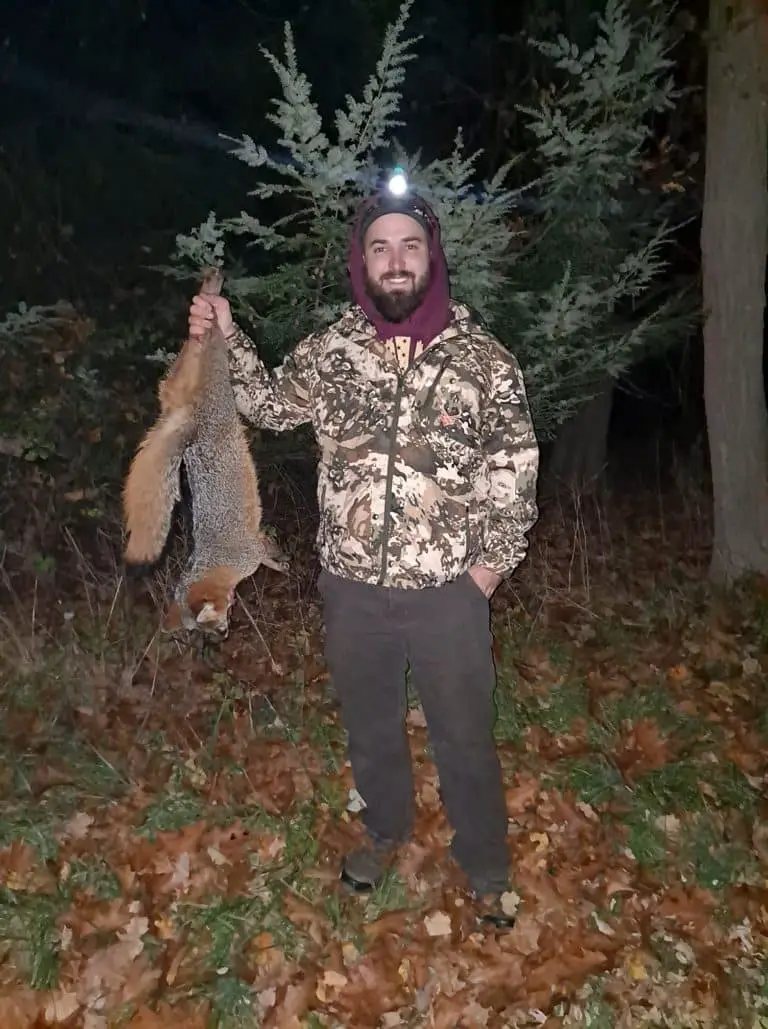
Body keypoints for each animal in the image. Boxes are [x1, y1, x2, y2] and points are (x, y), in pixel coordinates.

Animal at [122, 267, 287, 638]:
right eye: (206, 630)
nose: (222, 635)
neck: (216, 563)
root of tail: (189, 418)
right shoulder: (253, 545)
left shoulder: (252, 550)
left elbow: (269, 554)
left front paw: (282, 562)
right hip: (182, 379)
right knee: (195, 339)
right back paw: (209, 290)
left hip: (215, 373)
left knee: (206, 336)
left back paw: (212, 285)